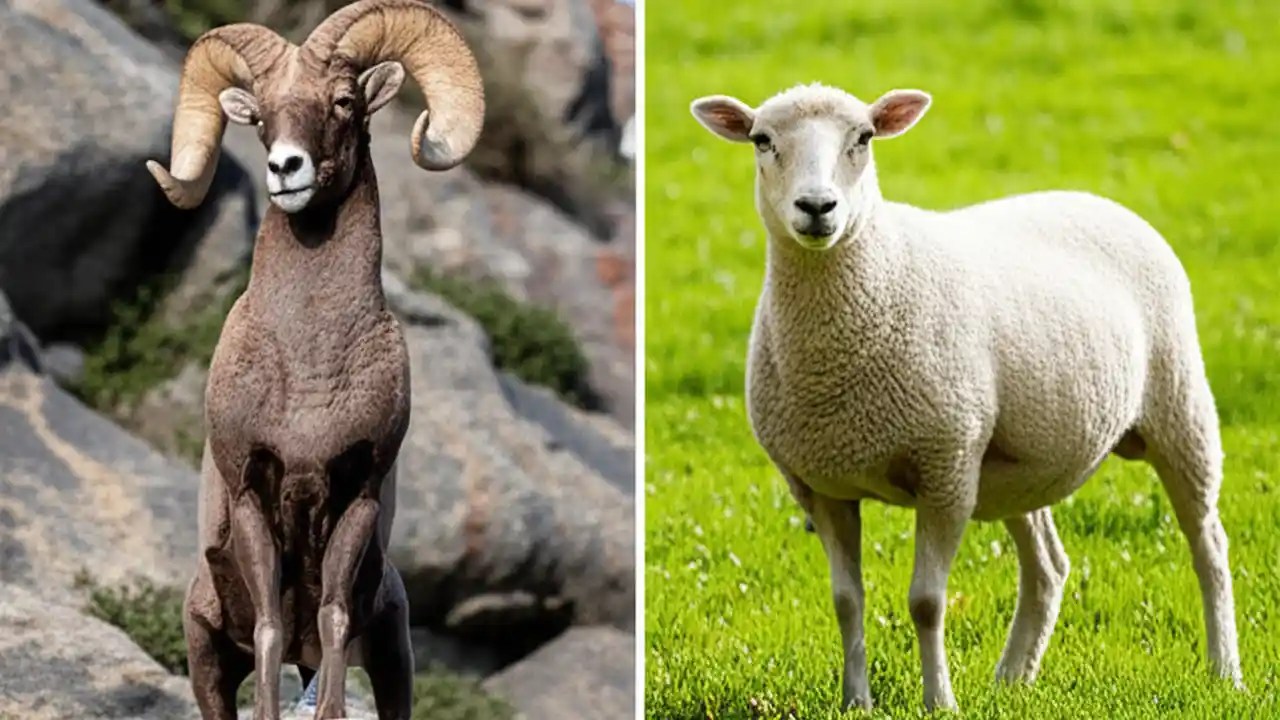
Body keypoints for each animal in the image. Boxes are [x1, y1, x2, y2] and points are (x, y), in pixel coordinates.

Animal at [145, 2, 484, 718]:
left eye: (343, 100)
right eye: (260, 117)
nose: (285, 169)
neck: (307, 373)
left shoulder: (356, 495)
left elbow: (330, 614)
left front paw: (327, 711)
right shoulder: (252, 492)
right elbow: (272, 623)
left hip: (394, 652)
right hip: (205, 657)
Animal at [690, 83, 1242, 712]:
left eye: (864, 138)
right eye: (762, 141)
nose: (817, 207)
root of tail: (1100, 200)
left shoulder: (946, 467)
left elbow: (926, 602)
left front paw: (940, 702)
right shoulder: (823, 485)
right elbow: (846, 601)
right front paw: (856, 702)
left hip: (1180, 405)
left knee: (1208, 544)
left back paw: (1225, 671)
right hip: (1016, 466)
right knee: (1048, 566)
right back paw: (1012, 679)